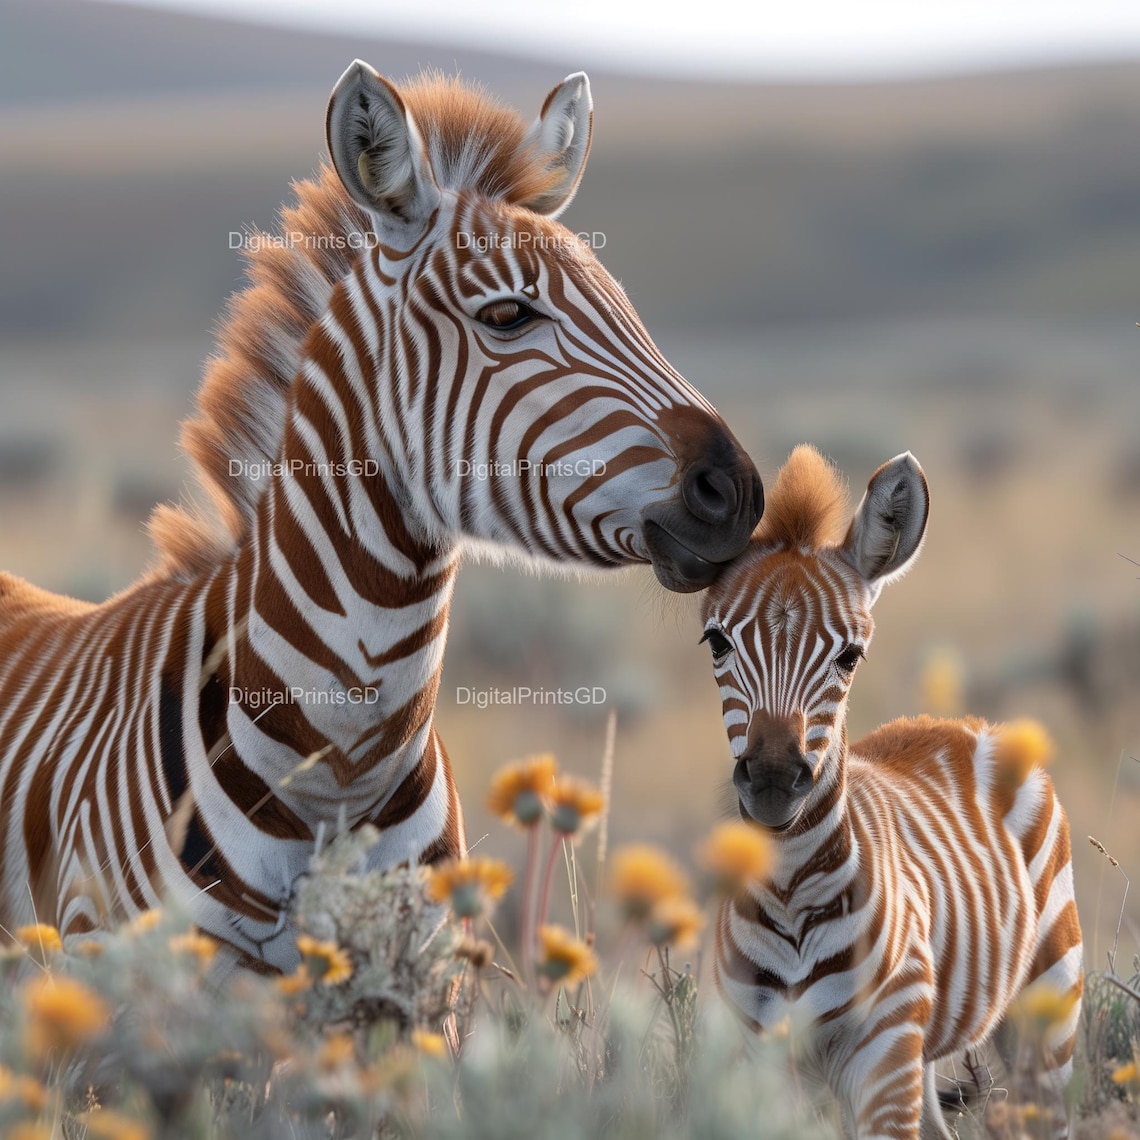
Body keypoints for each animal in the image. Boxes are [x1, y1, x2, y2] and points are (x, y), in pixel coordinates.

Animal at [699, 445, 1082, 1139]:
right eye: (717, 641)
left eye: (850, 656)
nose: (772, 780)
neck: (789, 892)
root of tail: (956, 721)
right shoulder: (755, 1056)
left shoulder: (881, 1047)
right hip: (923, 1049)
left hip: (1046, 998)